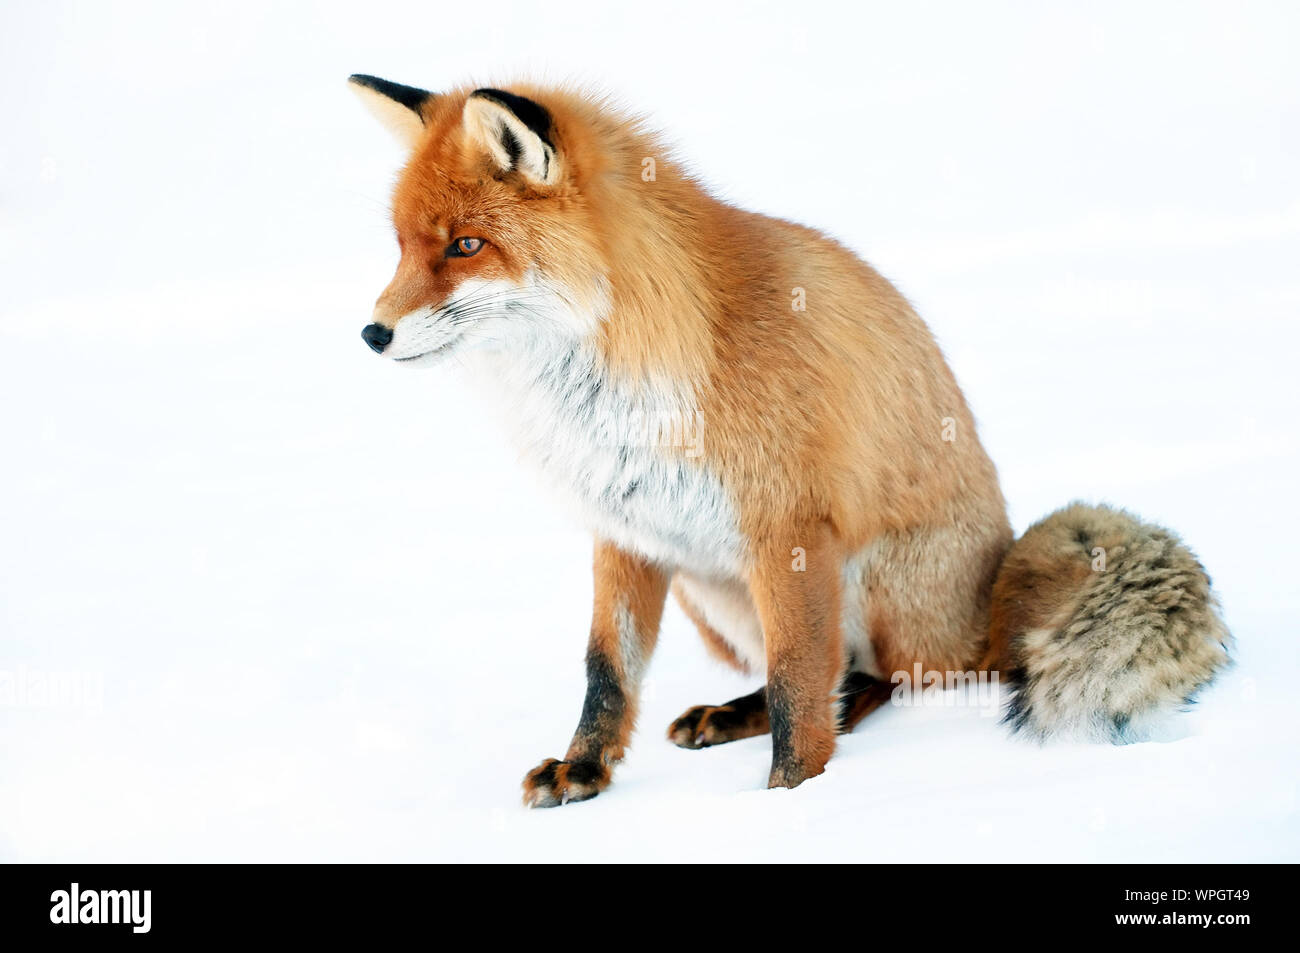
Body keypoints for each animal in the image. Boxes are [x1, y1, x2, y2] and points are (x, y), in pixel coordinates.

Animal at [347, 74, 1233, 807]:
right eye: (402, 245)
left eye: (465, 245)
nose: (372, 334)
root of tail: (993, 596)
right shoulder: (623, 530)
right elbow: (609, 672)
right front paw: (584, 770)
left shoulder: (791, 530)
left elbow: (799, 682)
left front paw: (793, 798)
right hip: (708, 591)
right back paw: (726, 712)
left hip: (872, 583)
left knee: (885, 677)